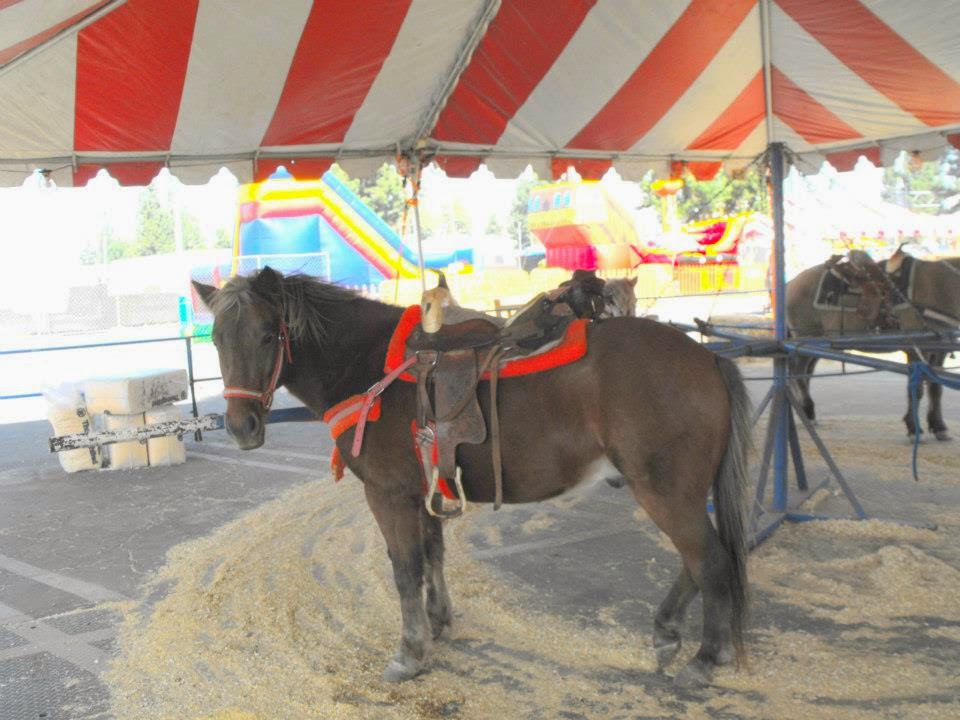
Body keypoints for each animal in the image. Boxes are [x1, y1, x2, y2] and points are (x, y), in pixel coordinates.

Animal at [193, 267, 752, 687]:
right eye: (216, 339)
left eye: (269, 335)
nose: (241, 428)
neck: (369, 367)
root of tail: (707, 356)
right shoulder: (425, 488)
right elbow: (433, 554)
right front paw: (438, 622)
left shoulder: (388, 495)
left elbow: (405, 570)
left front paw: (410, 653)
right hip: (674, 492)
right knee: (698, 559)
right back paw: (667, 629)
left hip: (667, 492)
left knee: (710, 559)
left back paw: (707, 657)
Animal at [785, 252, 960, 439]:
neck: (939, 286)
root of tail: (791, 283)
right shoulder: (916, 349)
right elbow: (917, 388)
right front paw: (913, 427)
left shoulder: (939, 349)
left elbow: (936, 387)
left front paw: (939, 426)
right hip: (805, 337)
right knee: (797, 372)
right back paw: (808, 410)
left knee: (806, 373)